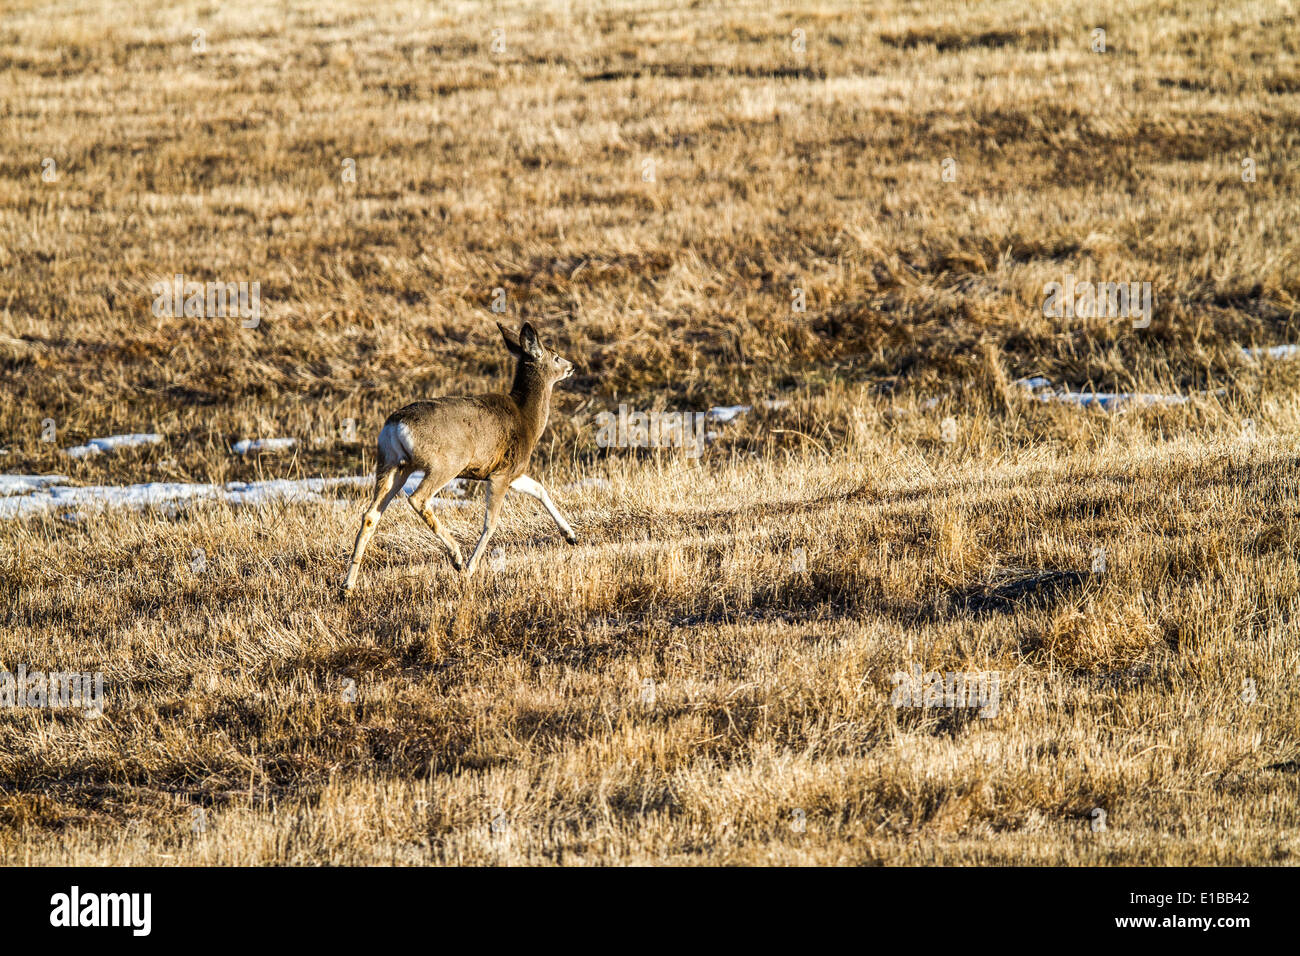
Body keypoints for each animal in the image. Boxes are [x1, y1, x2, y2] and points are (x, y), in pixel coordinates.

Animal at [342, 321, 577, 592]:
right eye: (555, 355)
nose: (572, 366)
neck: (527, 418)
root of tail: (395, 425)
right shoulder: (501, 473)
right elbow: (491, 522)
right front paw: (470, 568)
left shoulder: (512, 472)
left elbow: (539, 489)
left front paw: (571, 536)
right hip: (445, 462)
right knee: (418, 498)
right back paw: (456, 557)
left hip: (391, 463)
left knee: (371, 515)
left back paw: (348, 585)